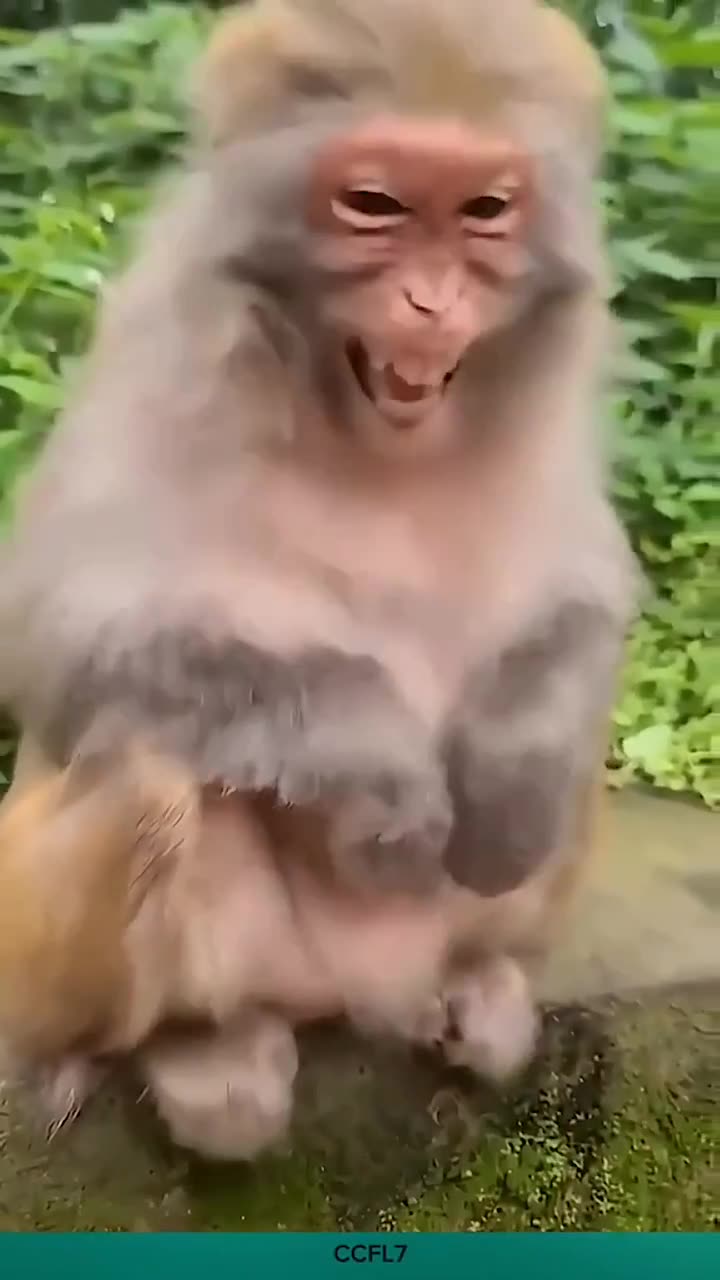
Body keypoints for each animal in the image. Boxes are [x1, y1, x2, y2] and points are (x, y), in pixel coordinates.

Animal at [0, 0, 639, 1158]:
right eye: (375, 206)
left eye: (483, 209)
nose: (430, 300)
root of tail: (356, 993)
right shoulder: (164, 339)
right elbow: (64, 630)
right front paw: (381, 780)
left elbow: (580, 583)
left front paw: (510, 775)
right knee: (151, 770)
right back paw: (201, 1046)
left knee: (578, 735)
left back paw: (480, 980)